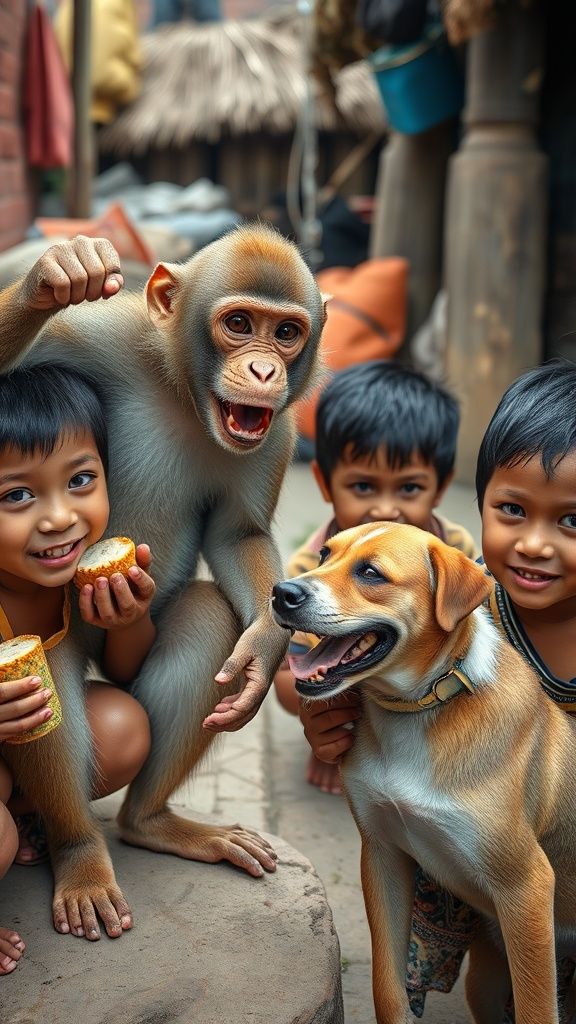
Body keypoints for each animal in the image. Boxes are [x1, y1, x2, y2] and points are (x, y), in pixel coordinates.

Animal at [0, 225, 327, 942]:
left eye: (287, 333)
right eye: (240, 325)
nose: (265, 372)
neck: (185, 394)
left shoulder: (280, 431)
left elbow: (236, 536)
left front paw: (264, 648)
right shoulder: (100, 338)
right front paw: (55, 270)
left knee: (208, 612)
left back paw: (149, 823)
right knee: (43, 679)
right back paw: (80, 856)